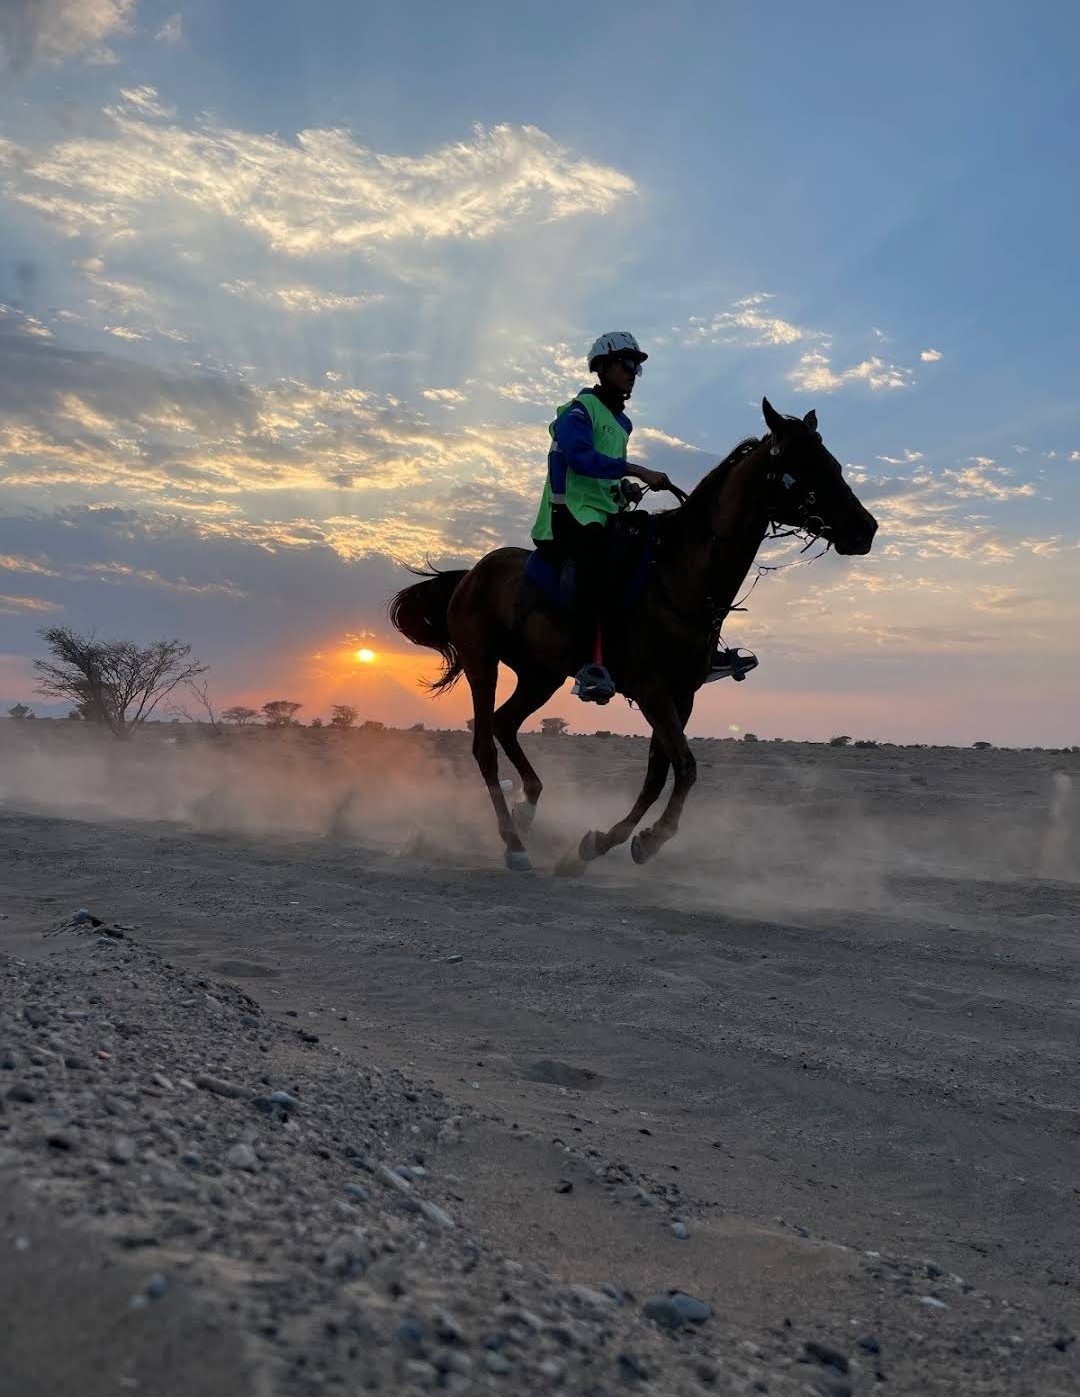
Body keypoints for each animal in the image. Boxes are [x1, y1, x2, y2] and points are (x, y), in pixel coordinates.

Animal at [389, 398, 878, 872]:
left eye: (834, 463)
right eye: (806, 466)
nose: (866, 529)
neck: (680, 576)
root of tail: (470, 575)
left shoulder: (682, 695)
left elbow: (660, 771)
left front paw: (598, 845)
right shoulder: (651, 690)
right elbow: (686, 767)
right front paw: (649, 839)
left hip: (541, 675)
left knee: (506, 724)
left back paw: (528, 807)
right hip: (482, 664)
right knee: (483, 745)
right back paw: (513, 844)